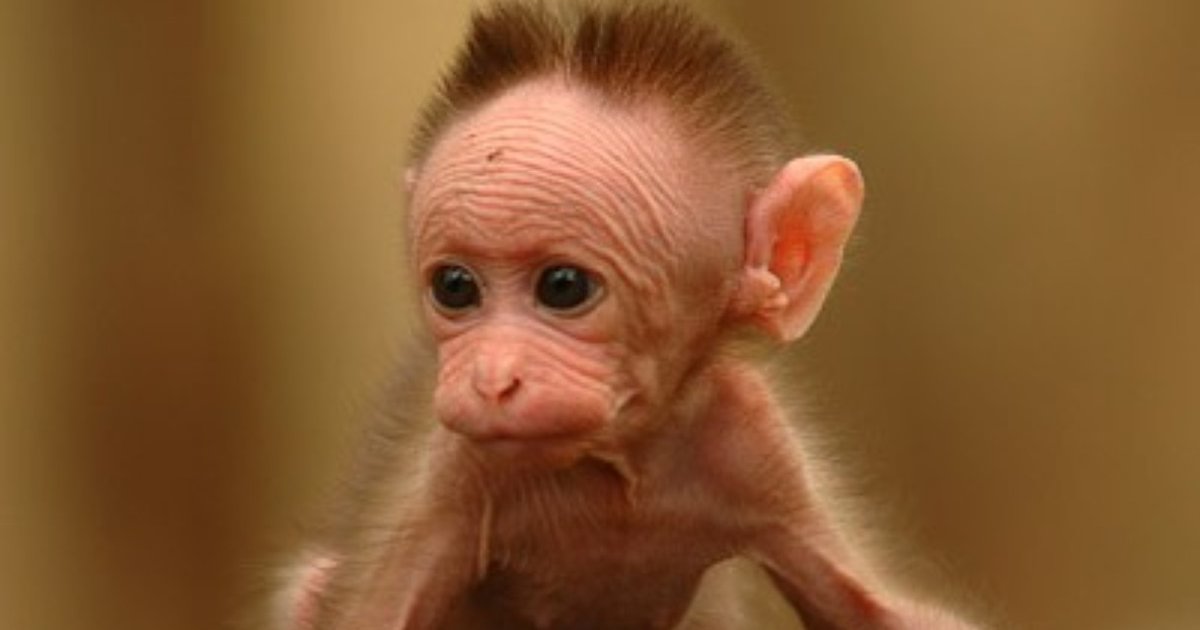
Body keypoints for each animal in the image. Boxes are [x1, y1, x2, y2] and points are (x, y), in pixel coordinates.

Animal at [275, 2, 979, 629]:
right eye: (455, 287)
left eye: (563, 286)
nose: (490, 379)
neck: (619, 458)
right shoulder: (451, 470)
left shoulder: (753, 437)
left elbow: (885, 610)